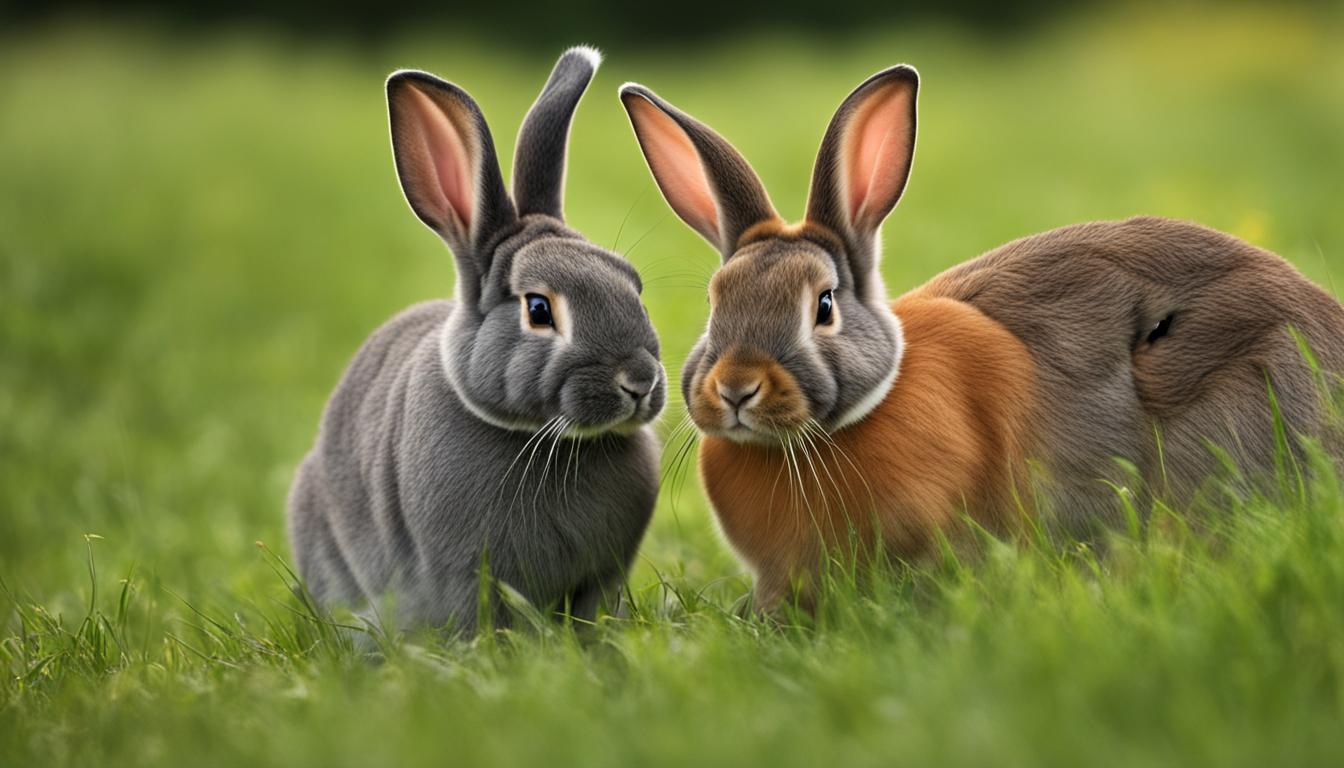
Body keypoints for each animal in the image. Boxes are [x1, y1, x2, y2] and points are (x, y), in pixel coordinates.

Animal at [288, 47, 666, 634]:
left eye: (634, 286)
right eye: (539, 309)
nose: (639, 381)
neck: (541, 438)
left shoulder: (602, 576)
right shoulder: (461, 573)